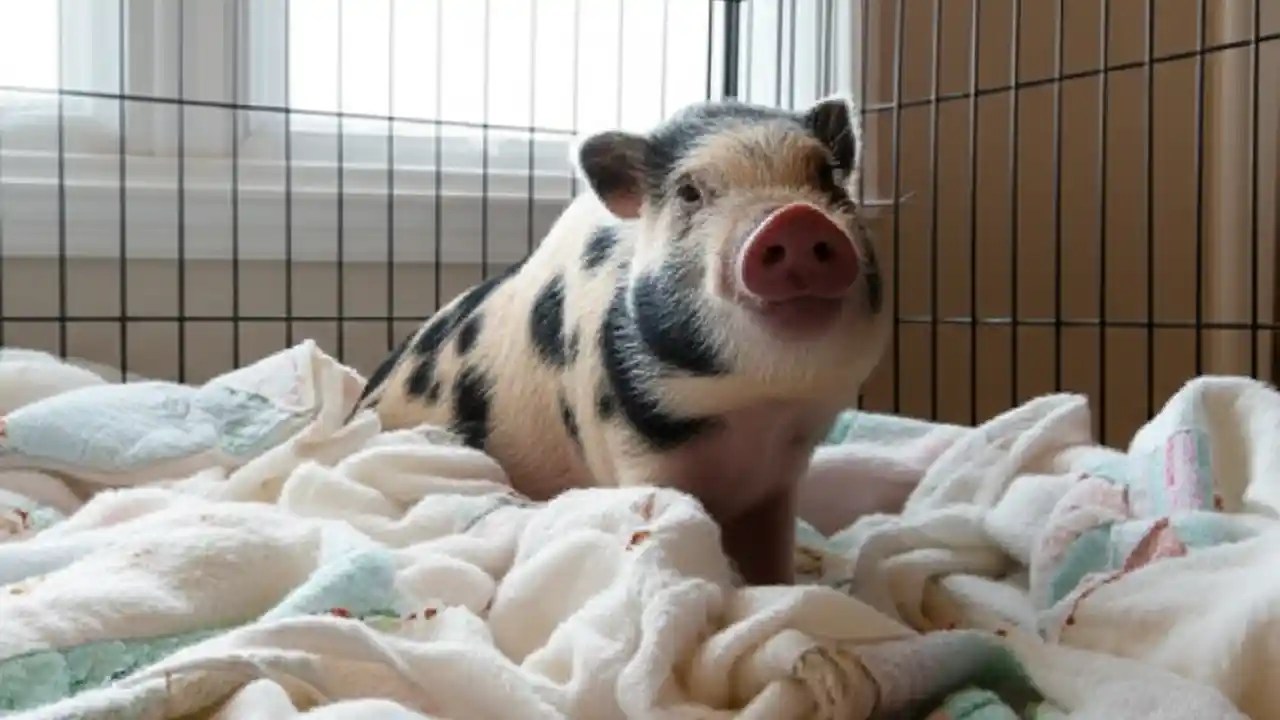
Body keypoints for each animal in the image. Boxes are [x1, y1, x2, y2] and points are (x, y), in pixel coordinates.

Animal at [352, 96, 890, 585]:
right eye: (689, 192)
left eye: (826, 176)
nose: (795, 218)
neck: (757, 409)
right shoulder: (635, 447)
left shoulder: (781, 474)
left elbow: (771, 555)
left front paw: (785, 589)